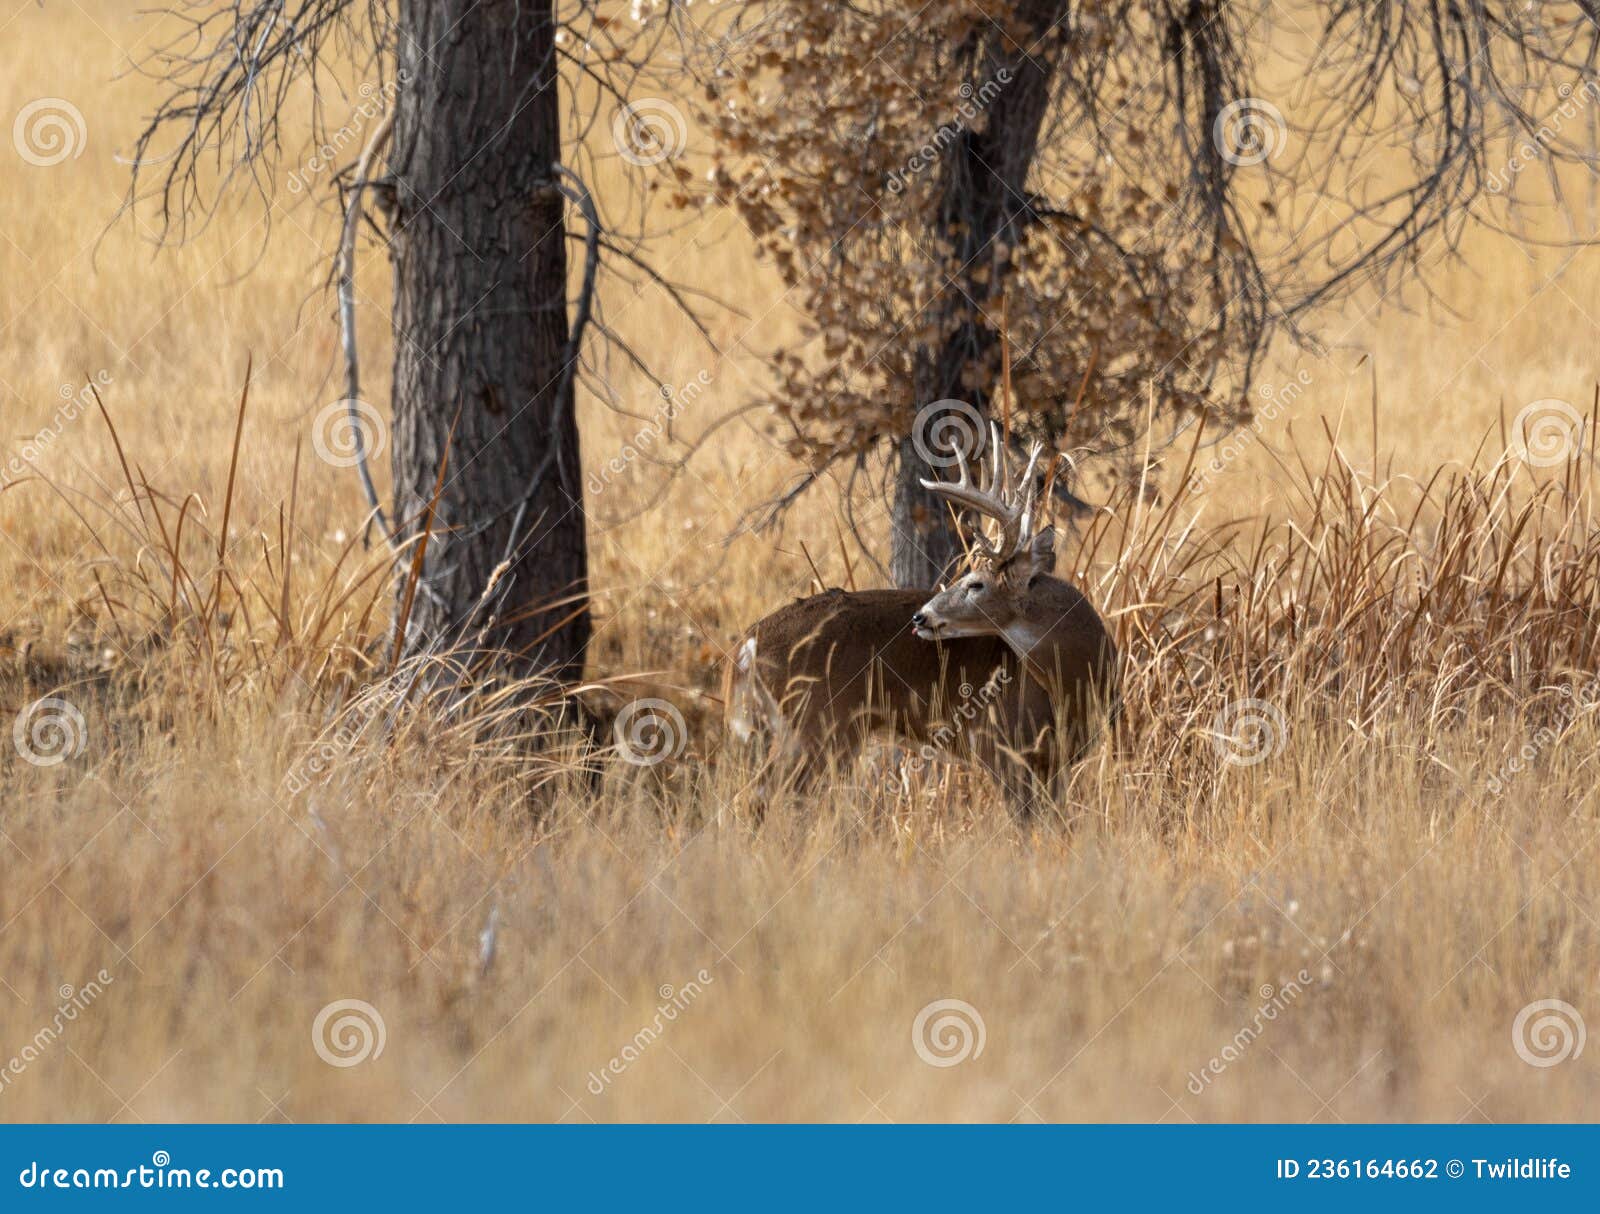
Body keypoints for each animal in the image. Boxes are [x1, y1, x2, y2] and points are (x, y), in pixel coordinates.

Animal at [724, 425, 1118, 814]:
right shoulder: (998, 746)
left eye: (976, 583)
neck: (1073, 684)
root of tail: (749, 643)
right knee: (770, 796)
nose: (920, 616)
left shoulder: (1057, 762)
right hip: (820, 723)